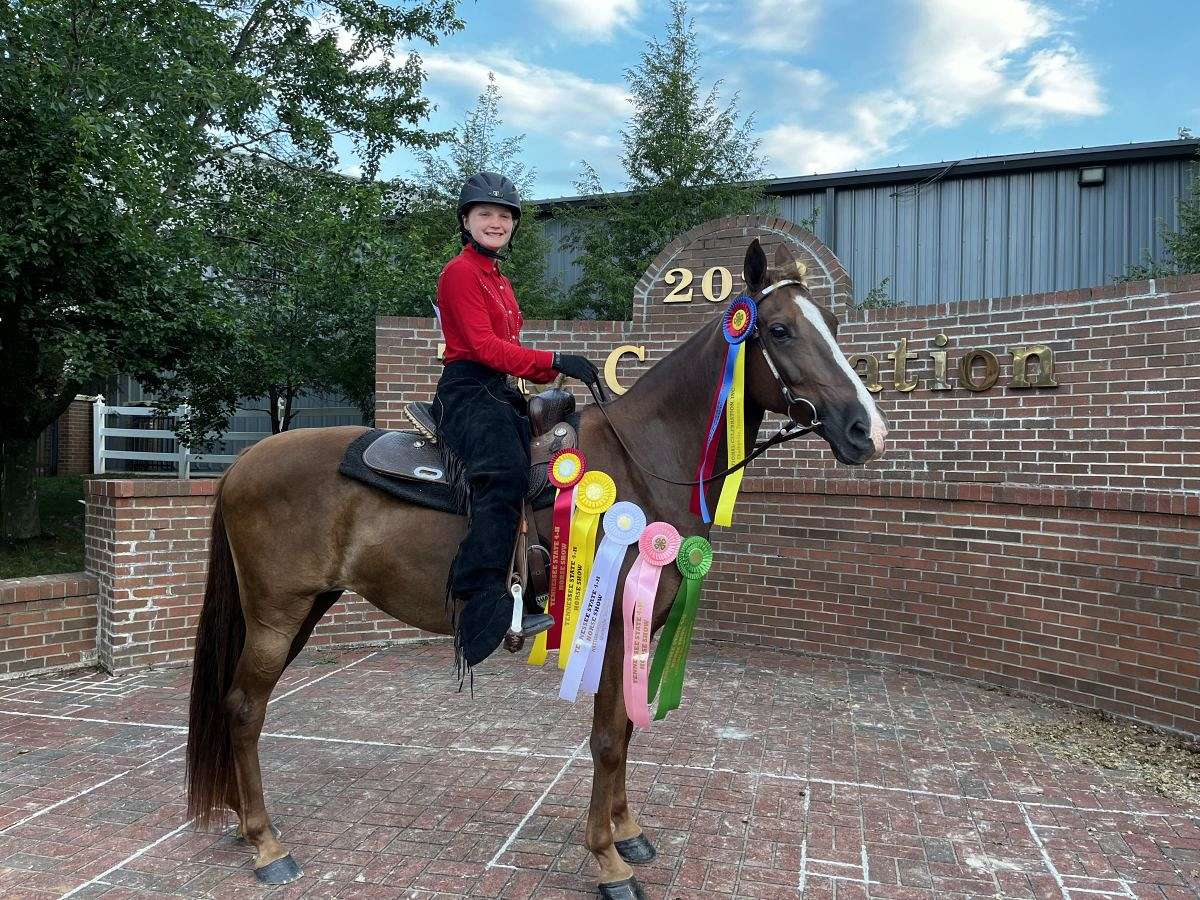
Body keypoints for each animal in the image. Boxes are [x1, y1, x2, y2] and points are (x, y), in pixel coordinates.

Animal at [185, 237, 888, 898]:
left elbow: (625, 730)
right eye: (780, 329)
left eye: (830, 321)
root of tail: (243, 464)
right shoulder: (611, 626)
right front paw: (607, 860)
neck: (641, 464)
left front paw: (628, 833)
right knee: (244, 707)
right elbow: (607, 739)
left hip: (302, 610)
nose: (867, 430)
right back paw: (267, 845)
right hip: (277, 615)